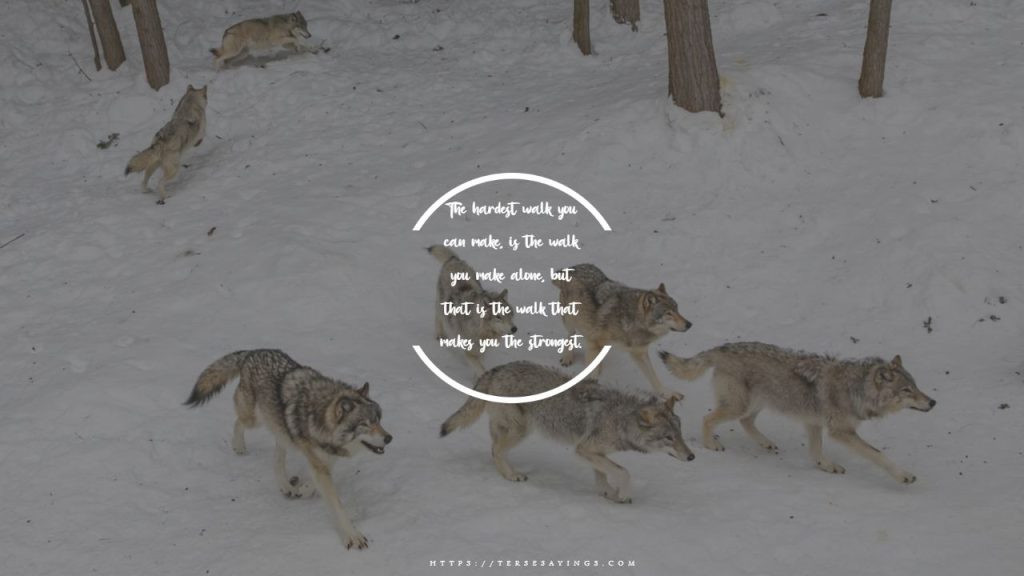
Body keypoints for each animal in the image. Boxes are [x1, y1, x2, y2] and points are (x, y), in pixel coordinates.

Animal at [184, 349, 392, 549]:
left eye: (379, 420)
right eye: (365, 424)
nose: (389, 438)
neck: (319, 417)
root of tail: (252, 352)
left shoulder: (325, 459)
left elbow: (314, 482)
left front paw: (304, 489)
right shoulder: (320, 462)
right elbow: (337, 505)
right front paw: (352, 537)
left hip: (279, 429)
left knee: (277, 455)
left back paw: (286, 485)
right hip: (255, 419)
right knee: (238, 422)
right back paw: (239, 447)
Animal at [428, 245, 517, 376]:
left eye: (509, 314)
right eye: (498, 317)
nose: (514, 329)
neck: (480, 330)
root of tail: (454, 260)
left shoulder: (481, 351)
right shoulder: (470, 354)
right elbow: (482, 370)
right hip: (441, 306)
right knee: (438, 316)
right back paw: (440, 336)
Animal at [440, 361, 694, 503]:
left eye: (680, 435)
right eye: (669, 438)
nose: (692, 457)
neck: (621, 418)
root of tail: (496, 369)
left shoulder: (593, 451)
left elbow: (603, 474)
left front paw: (608, 493)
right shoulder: (583, 449)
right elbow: (624, 472)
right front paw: (622, 494)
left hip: (512, 429)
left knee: (494, 448)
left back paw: (509, 471)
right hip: (521, 430)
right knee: (496, 450)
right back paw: (512, 475)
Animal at [553, 263, 691, 396]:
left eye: (677, 309)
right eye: (668, 313)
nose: (689, 324)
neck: (631, 320)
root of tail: (574, 267)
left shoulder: (639, 353)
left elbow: (653, 377)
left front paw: (666, 393)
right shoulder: (593, 341)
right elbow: (592, 373)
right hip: (571, 320)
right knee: (570, 334)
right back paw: (567, 358)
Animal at [659, 342, 936, 483]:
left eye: (916, 386)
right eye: (907, 390)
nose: (933, 402)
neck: (857, 389)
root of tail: (722, 347)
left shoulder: (814, 423)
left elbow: (815, 452)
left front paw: (826, 466)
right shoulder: (841, 432)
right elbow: (878, 454)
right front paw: (904, 475)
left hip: (757, 404)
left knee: (746, 422)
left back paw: (766, 443)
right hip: (739, 405)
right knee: (708, 419)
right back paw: (711, 445)